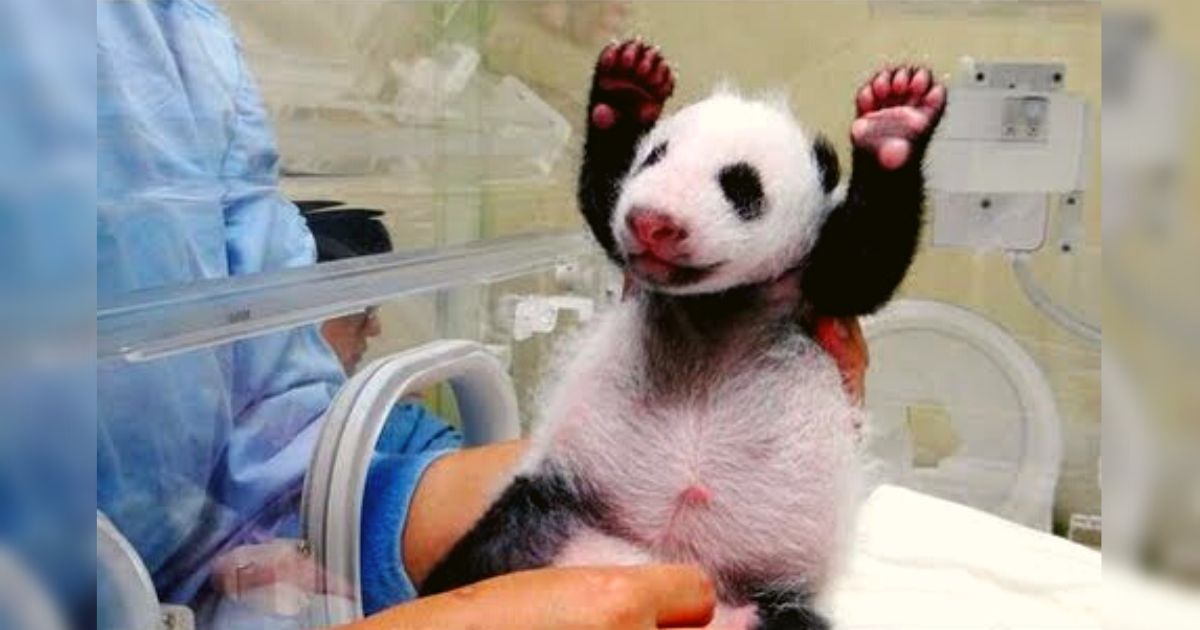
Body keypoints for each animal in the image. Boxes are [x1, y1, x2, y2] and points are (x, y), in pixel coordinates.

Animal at [420, 39, 946, 630]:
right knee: (488, 553)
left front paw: (893, 124)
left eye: (740, 185)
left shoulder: (811, 284)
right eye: (655, 156)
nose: (653, 222)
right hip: (553, 514)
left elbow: (864, 264)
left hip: (774, 602)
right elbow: (603, 201)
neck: (716, 303)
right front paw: (627, 88)